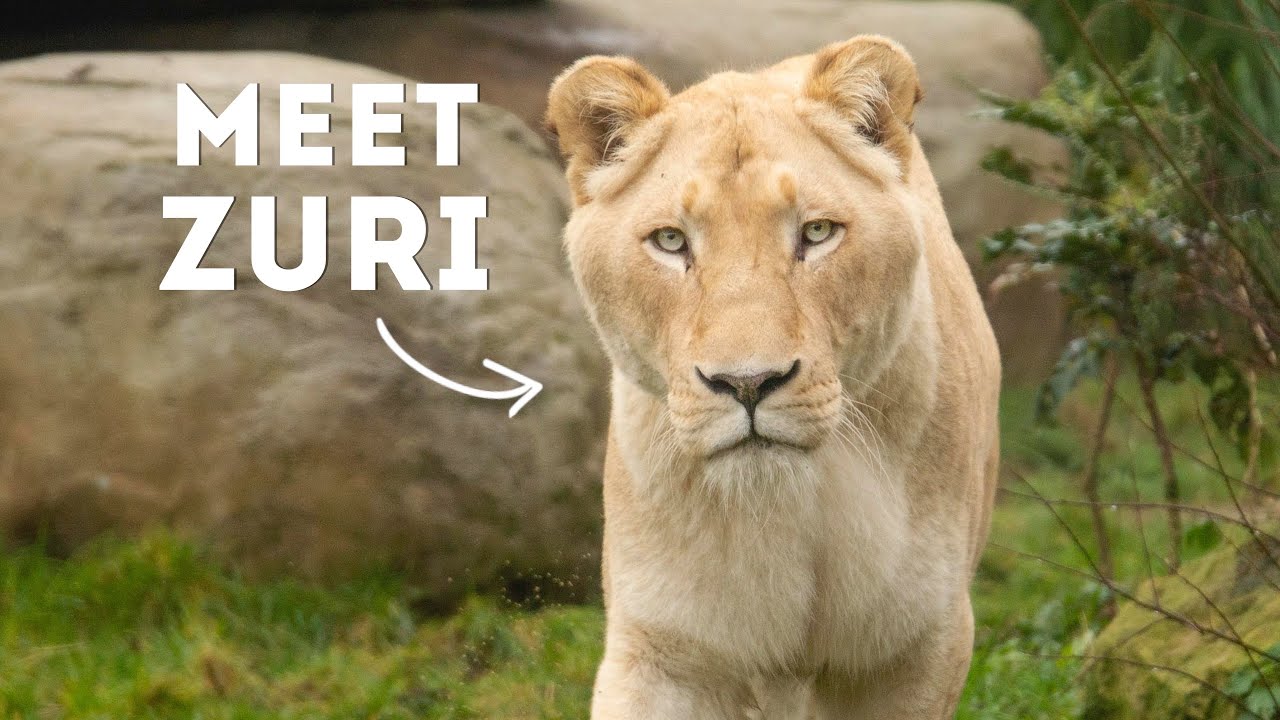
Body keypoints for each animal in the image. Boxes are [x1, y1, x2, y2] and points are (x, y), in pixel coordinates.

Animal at [545, 35, 1001, 719]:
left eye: (818, 231)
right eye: (671, 241)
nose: (748, 384)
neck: (785, 513)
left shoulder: (917, 648)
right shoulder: (661, 648)